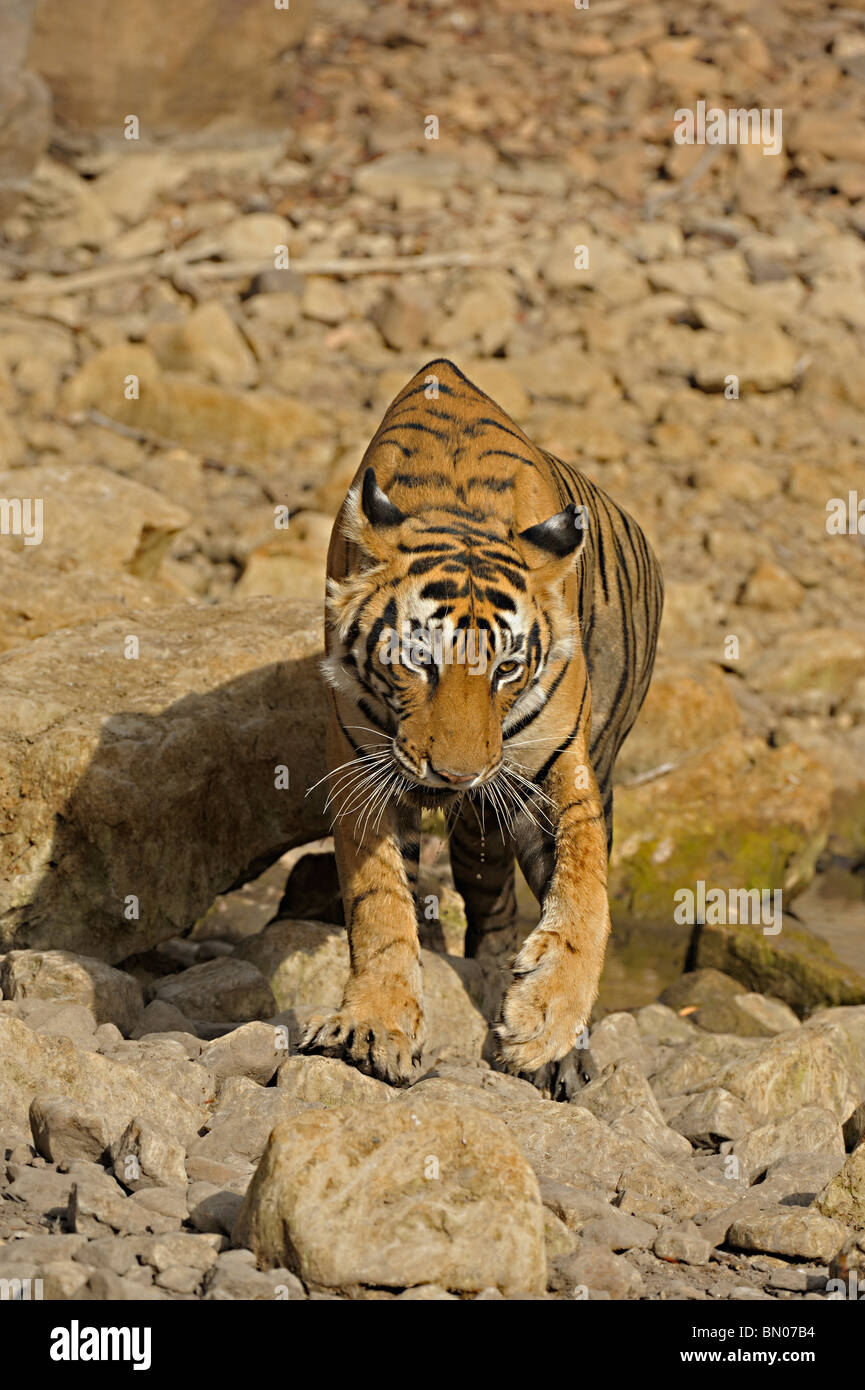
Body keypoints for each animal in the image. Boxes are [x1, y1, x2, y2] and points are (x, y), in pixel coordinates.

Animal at [300, 359, 663, 1085]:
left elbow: (585, 888)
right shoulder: (359, 767)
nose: (457, 775)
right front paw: (373, 1027)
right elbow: (379, 903)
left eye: (506, 668)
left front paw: (546, 1017)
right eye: (418, 658)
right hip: (479, 828)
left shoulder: (561, 766)